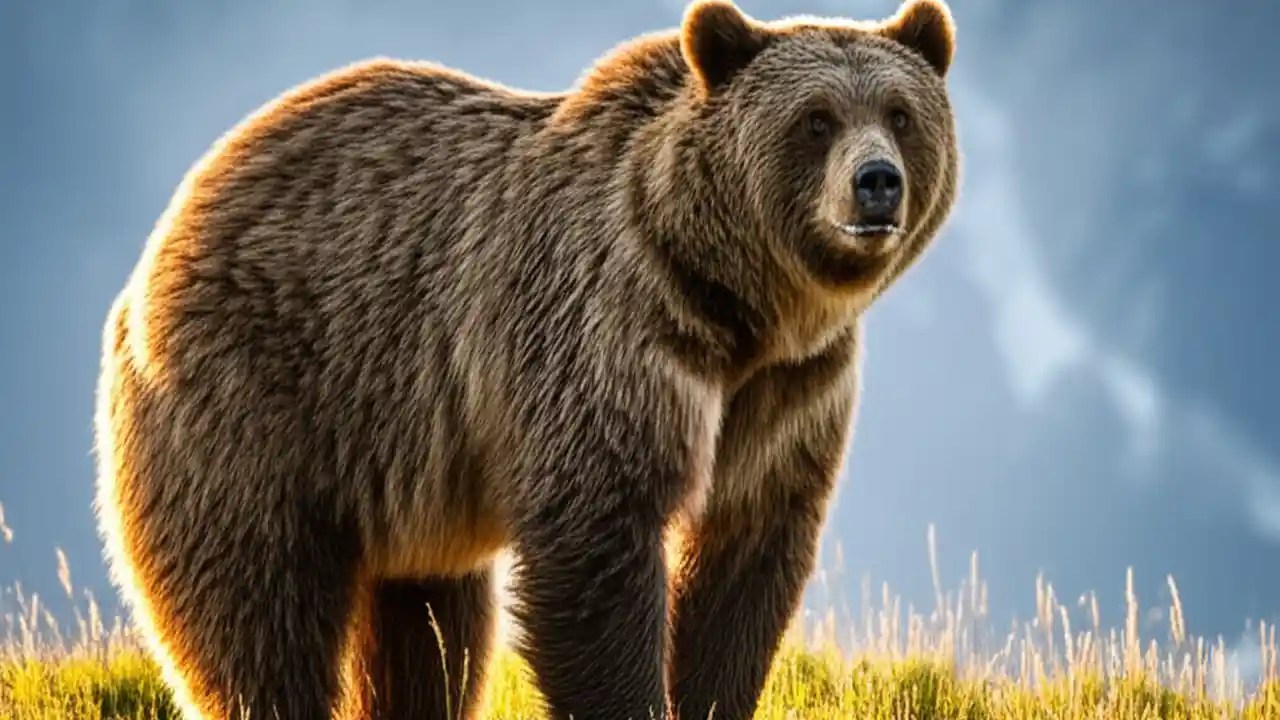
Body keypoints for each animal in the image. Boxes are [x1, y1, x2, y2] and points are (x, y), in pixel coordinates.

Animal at [92, 0, 959, 718]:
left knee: (430, 634)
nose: (876, 183)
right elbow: (596, 548)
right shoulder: (602, 334)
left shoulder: (789, 393)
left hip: (407, 484)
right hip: (259, 398)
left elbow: (746, 563)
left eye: (900, 112)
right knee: (257, 608)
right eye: (814, 119)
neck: (735, 306)